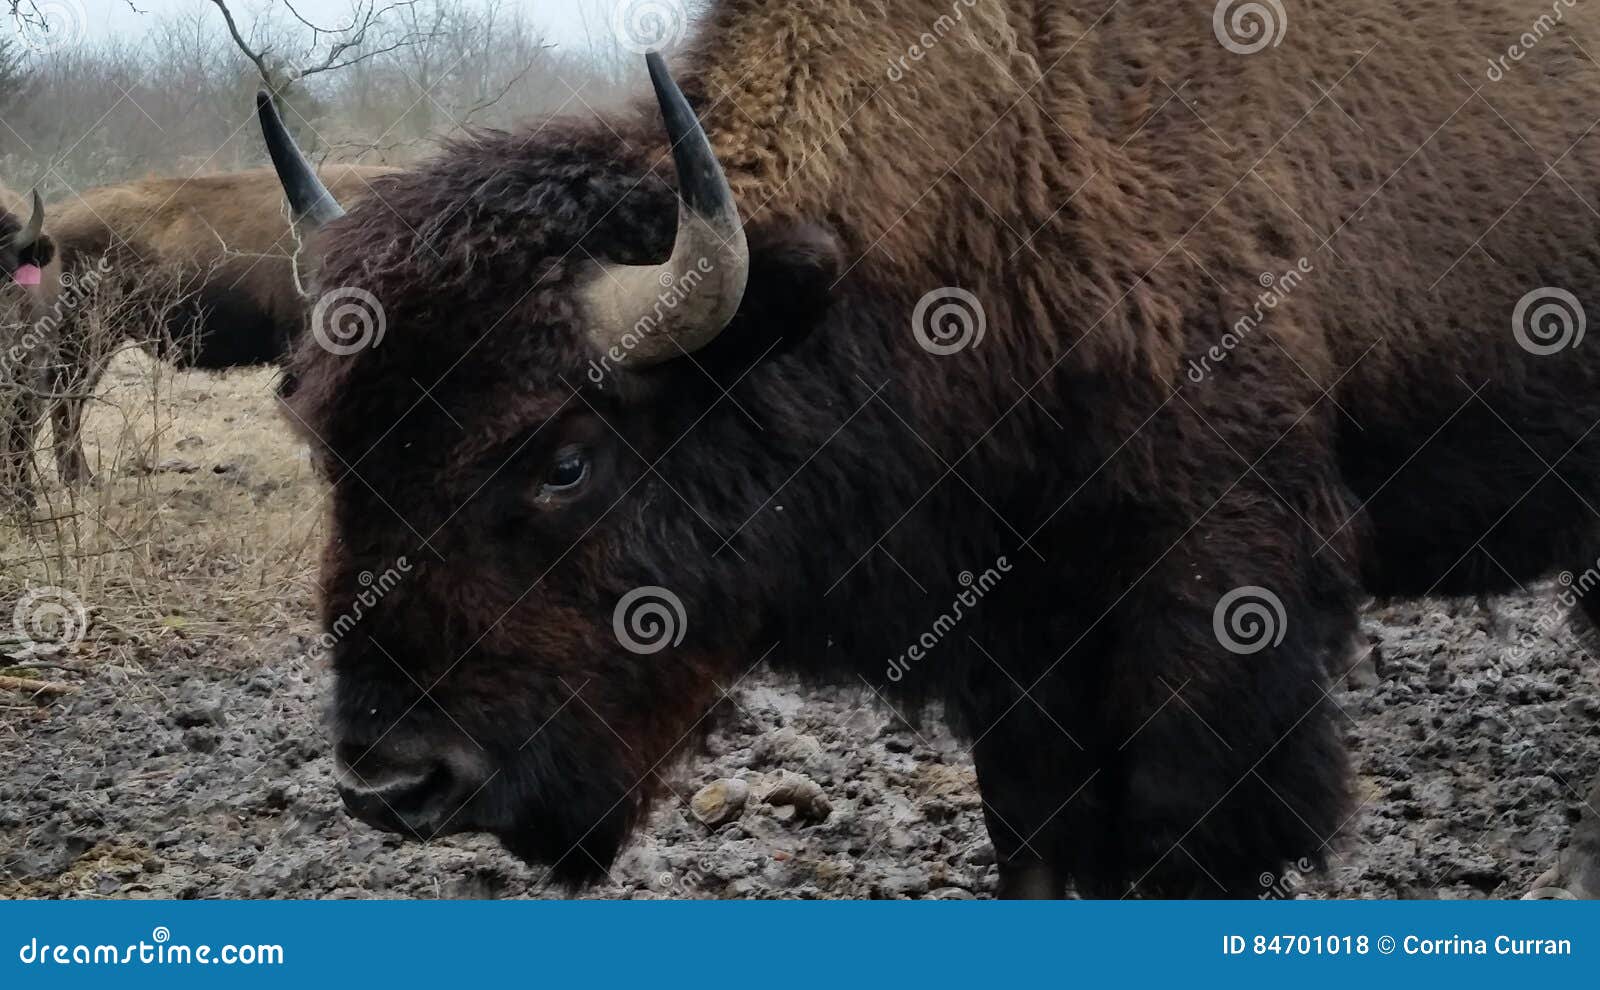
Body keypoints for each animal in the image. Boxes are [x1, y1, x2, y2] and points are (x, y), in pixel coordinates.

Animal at [263, 1, 1600, 898]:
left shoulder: (1219, 599)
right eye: (333, 450)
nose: (394, 784)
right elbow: (1036, 832)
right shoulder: (1012, 638)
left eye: (562, 460)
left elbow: (1184, 828)